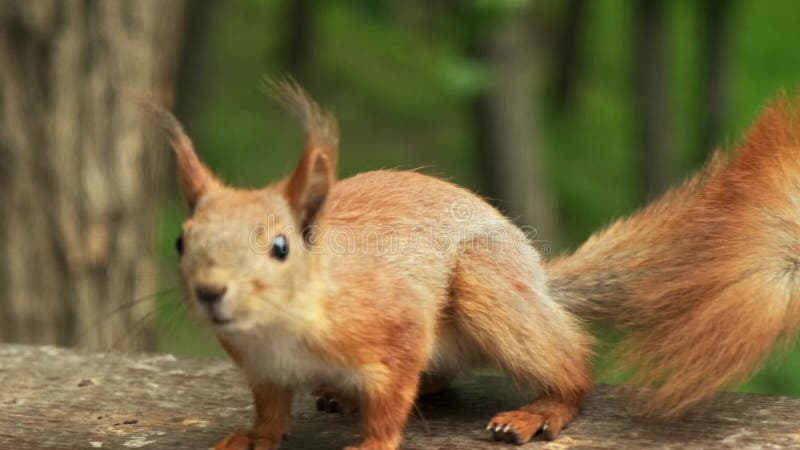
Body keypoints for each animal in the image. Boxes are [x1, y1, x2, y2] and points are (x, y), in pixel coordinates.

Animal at [152, 81, 800, 450]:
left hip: (487, 285)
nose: (210, 292)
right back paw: (343, 395)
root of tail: (537, 277)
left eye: (282, 246)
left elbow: (393, 395)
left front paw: (372, 442)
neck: (281, 327)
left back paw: (538, 412)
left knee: (575, 367)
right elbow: (269, 409)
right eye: (182, 241)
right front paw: (253, 438)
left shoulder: (397, 323)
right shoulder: (263, 369)